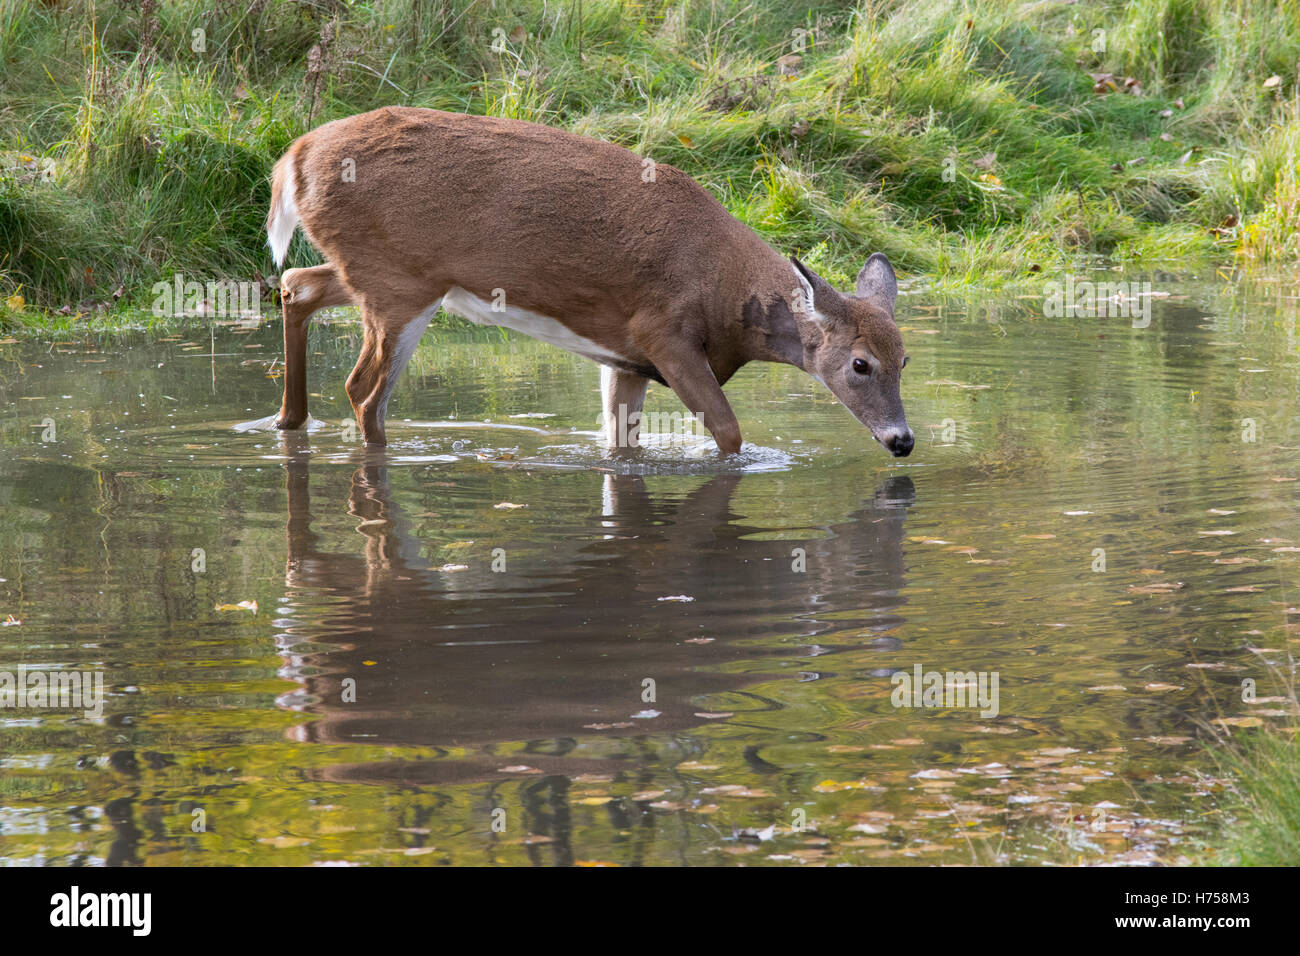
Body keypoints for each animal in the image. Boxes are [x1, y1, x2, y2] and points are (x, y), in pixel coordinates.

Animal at [266, 106, 913, 458]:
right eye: (861, 364)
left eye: (904, 359)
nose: (903, 440)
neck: (727, 298)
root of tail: (293, 157)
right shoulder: (661, 332)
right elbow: (729, 435)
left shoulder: (625, 361)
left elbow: (621, 445)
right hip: (398, 283)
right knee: (363, 390)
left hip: (378, 271)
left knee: (297, 281)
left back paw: (287, 421)